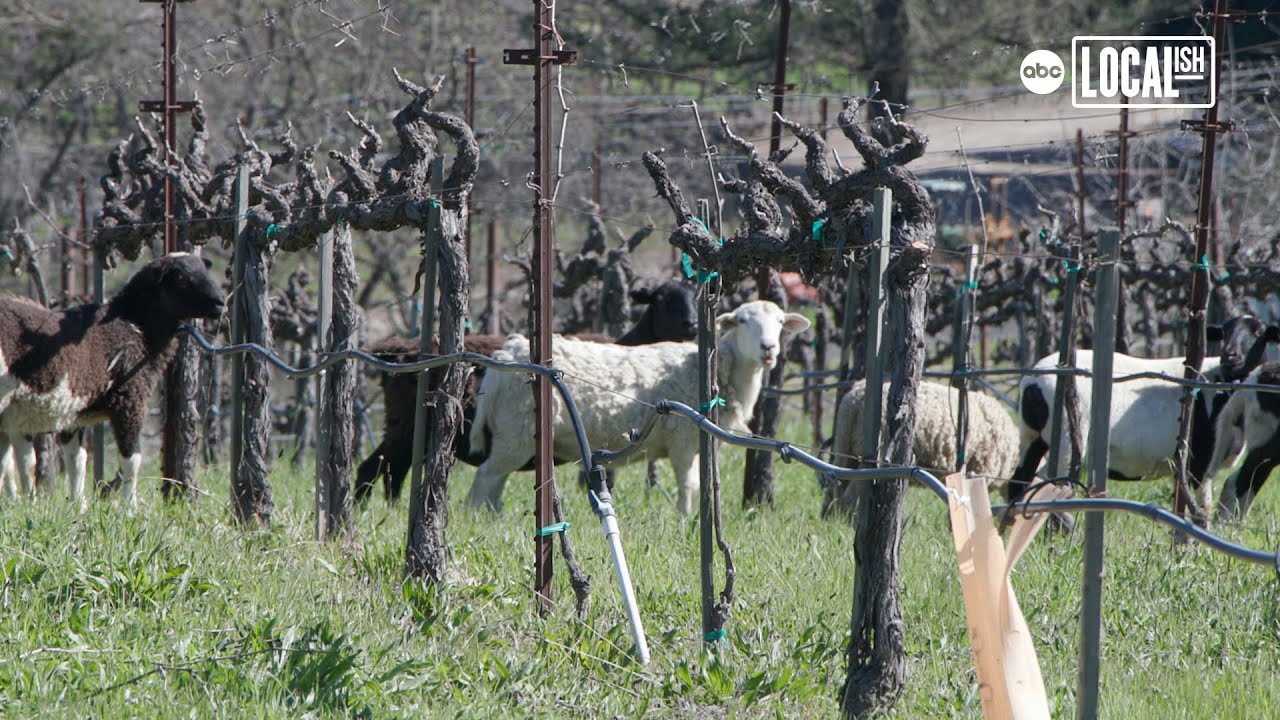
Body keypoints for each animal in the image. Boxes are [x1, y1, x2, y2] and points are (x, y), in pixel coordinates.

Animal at [0, 253, 225, 509]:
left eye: (204, 269)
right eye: (179, 276)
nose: (220, 303)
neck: (135, 327)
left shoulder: (72, 408)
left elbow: (77, 459)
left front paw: (78, 506)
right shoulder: (129, 399)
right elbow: (131, 459)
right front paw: (130, 508)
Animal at [354, 280, 697, 503]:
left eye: (695, 295)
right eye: (662, 299)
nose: (692, 323)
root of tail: (395, 350)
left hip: (406, 430)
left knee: (390, 473)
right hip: (409, 428)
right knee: (375, 470)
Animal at [466, 299, 810, 515]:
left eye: (780, 322)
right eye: (742, 321)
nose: (769, 348)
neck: (712, 369)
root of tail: (504, 357)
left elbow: (696, 486)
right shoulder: (683, 438)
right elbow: (689, 486)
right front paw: (685, 522)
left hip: (514, 434)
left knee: (495, 483)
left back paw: (493, 520)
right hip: (518, 431)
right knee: (485, 478)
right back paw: (477, 520)